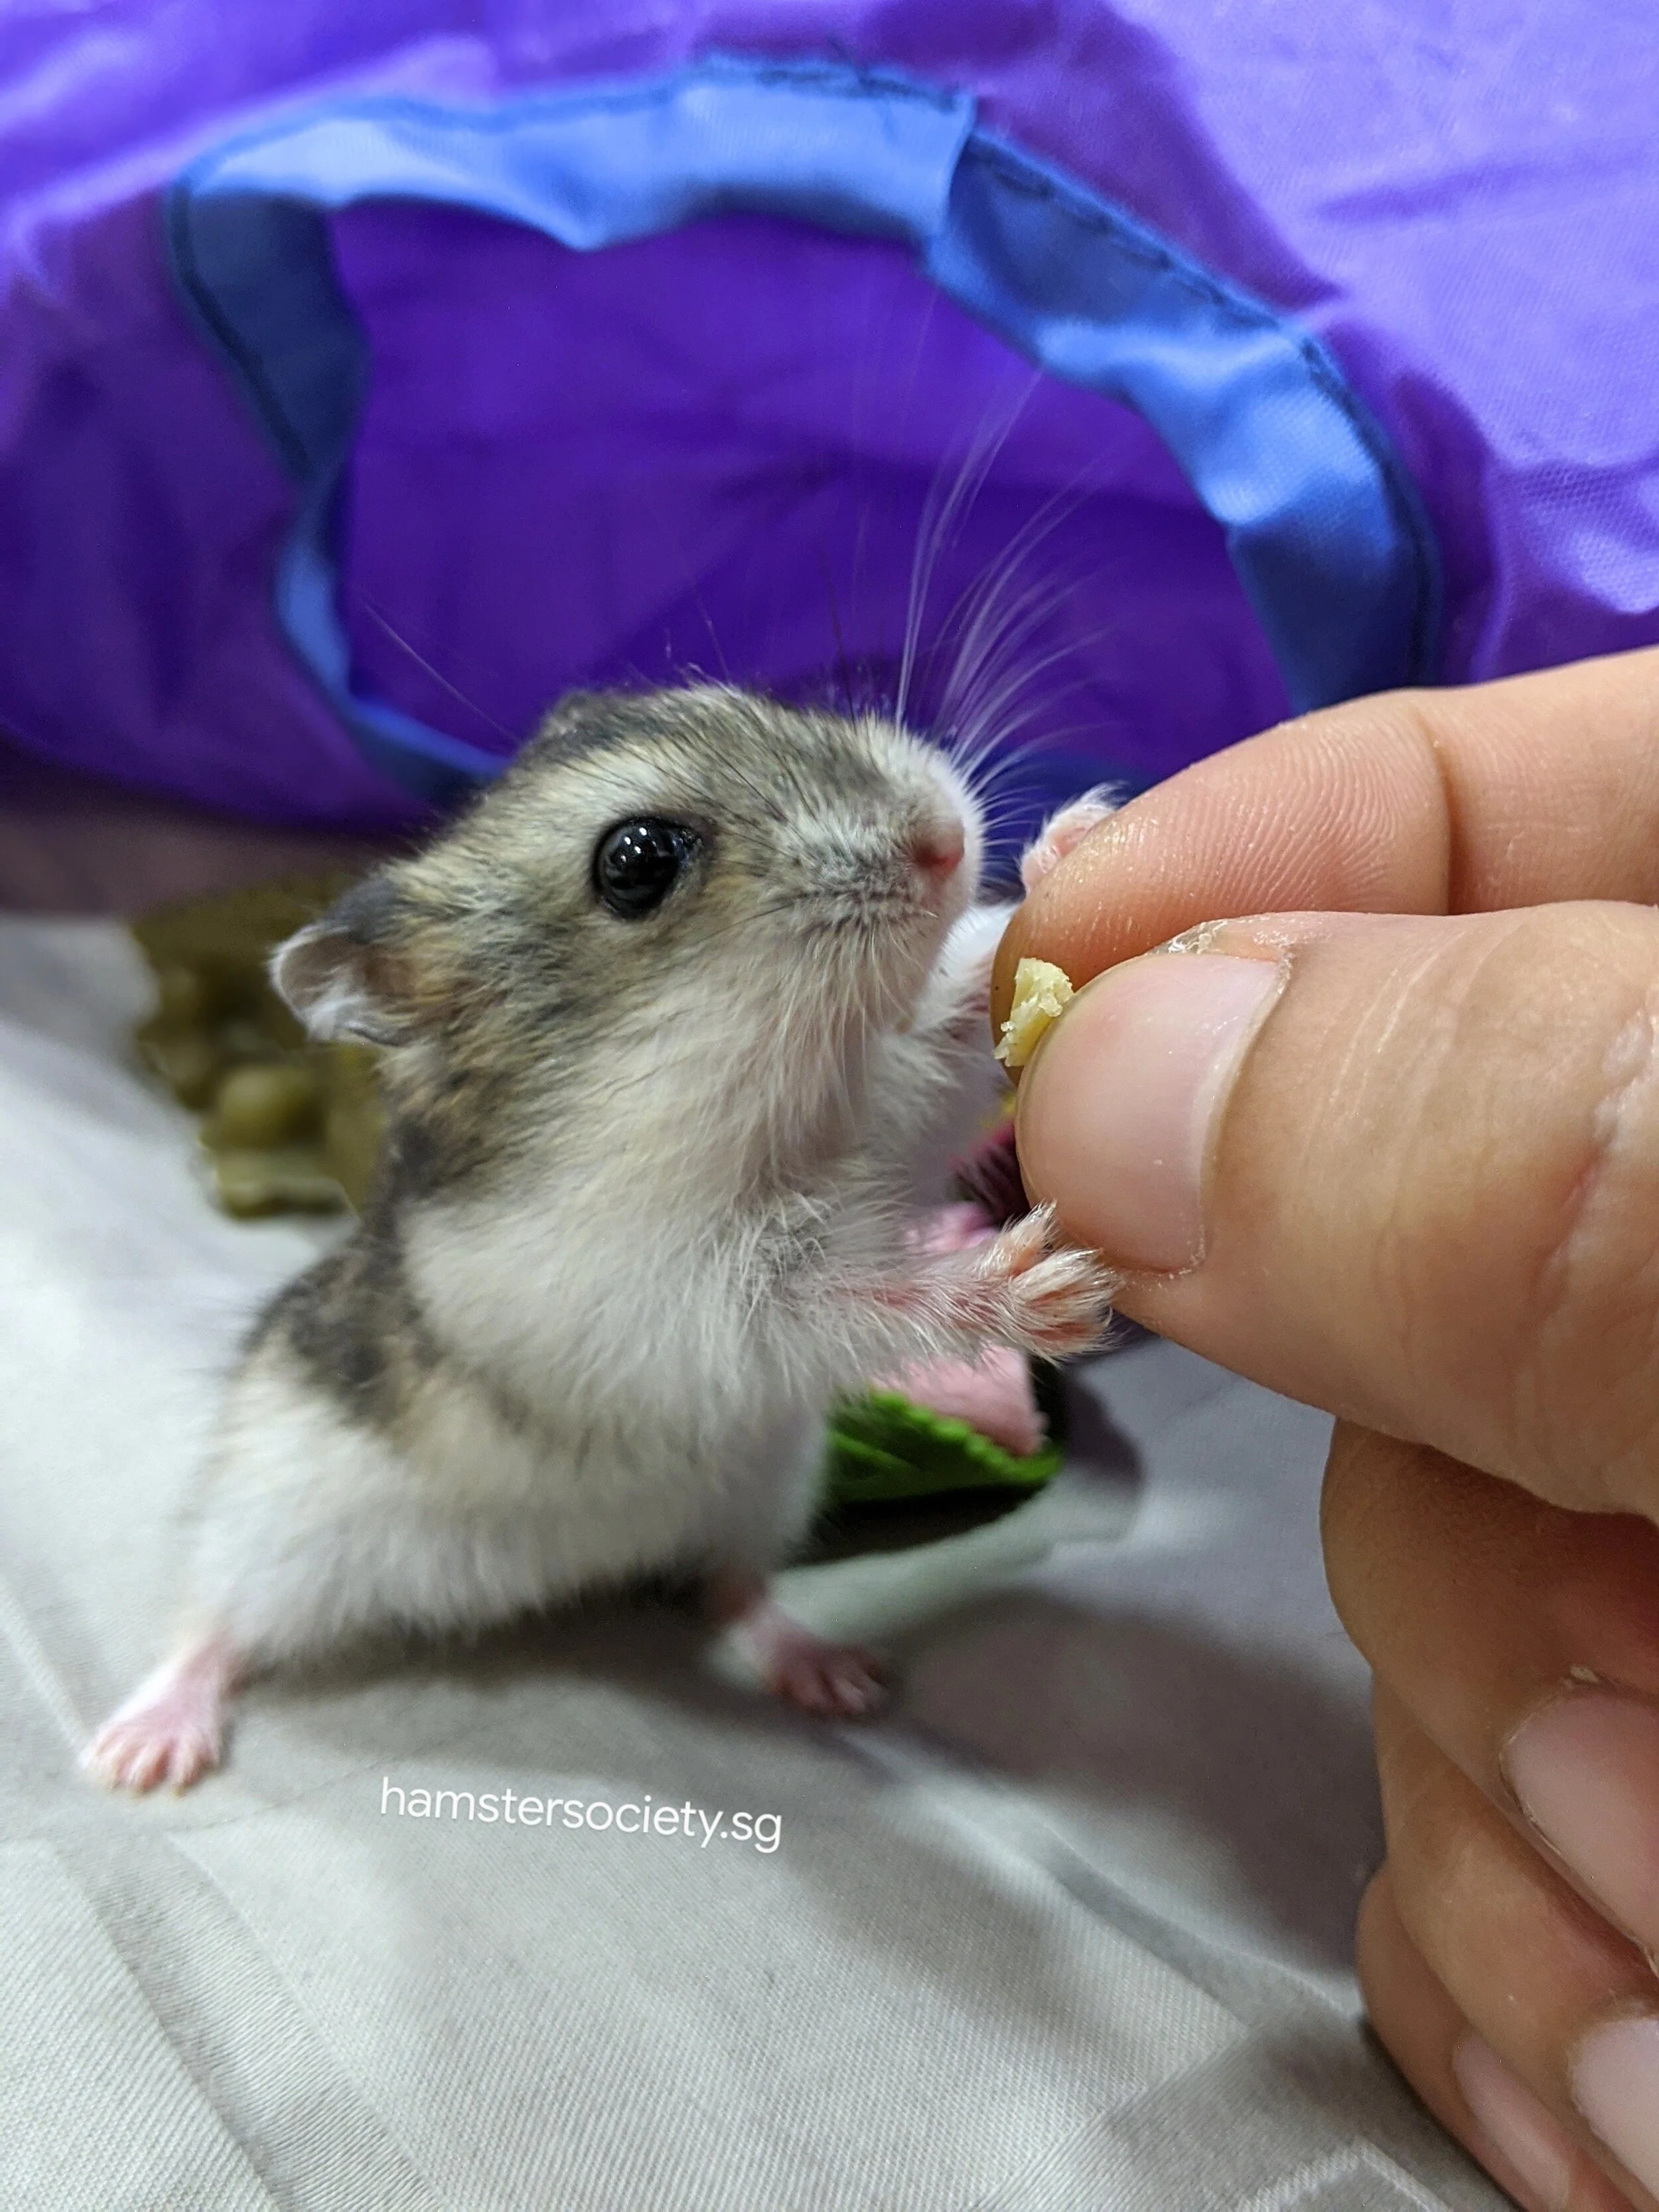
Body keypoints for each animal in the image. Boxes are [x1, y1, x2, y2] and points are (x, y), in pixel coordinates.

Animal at [84, 686, 1117, 1792]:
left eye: (749, 699)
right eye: (636, 862)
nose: (948, 839)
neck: (731, 1082)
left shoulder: (893, 1110)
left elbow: (948, 1035)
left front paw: (1078, 841)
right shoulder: (686, 1308)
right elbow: (844, 1300)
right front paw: (1049, 1287)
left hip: (762, 1494)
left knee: (730, 1590)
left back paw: (835, 1675)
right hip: (266, 1522)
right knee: (211, 1623)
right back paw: (139, 1755)